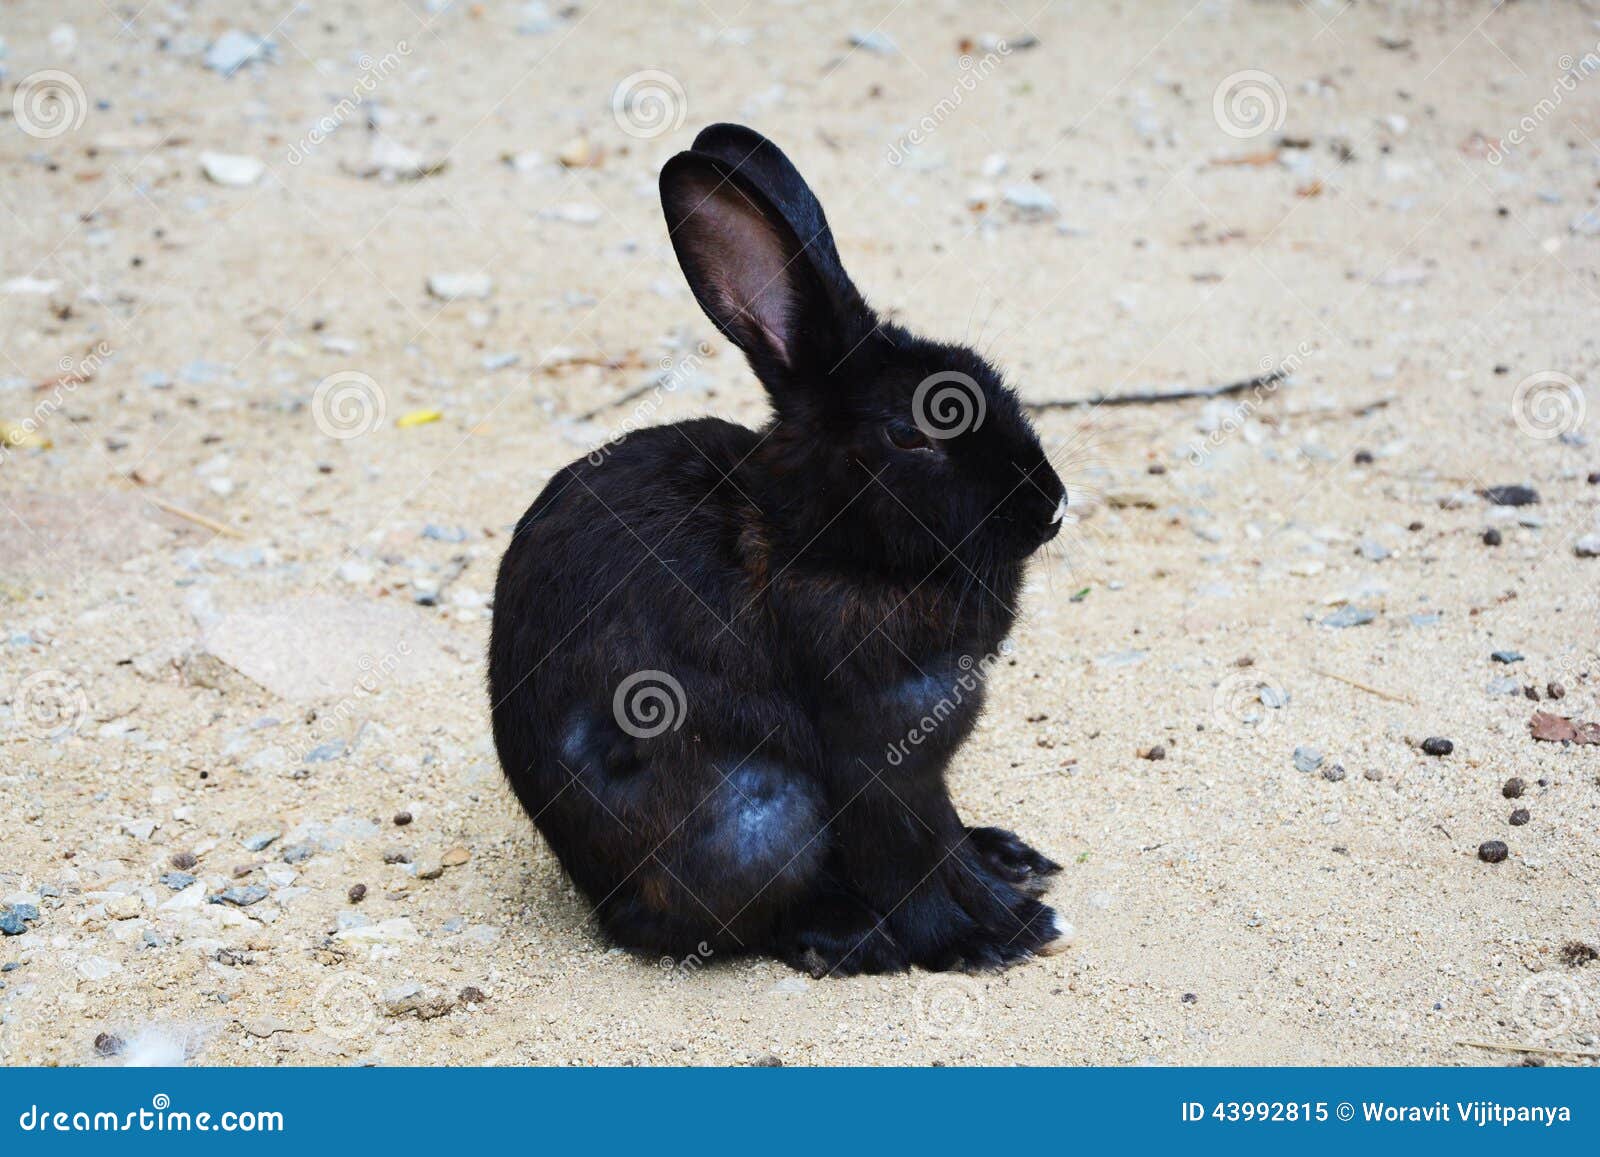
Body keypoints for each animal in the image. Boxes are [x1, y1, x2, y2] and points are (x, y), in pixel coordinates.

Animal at [489, 123, 1070, 976]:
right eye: (916, 431)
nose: (1052, 506)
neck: (819, 539)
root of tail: (597, 900)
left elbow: (943, 842)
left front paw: (1007, 882)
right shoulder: (877, 757)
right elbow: (915, 861)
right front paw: (998, 934)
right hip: (764, 814)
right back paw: (848, 936)